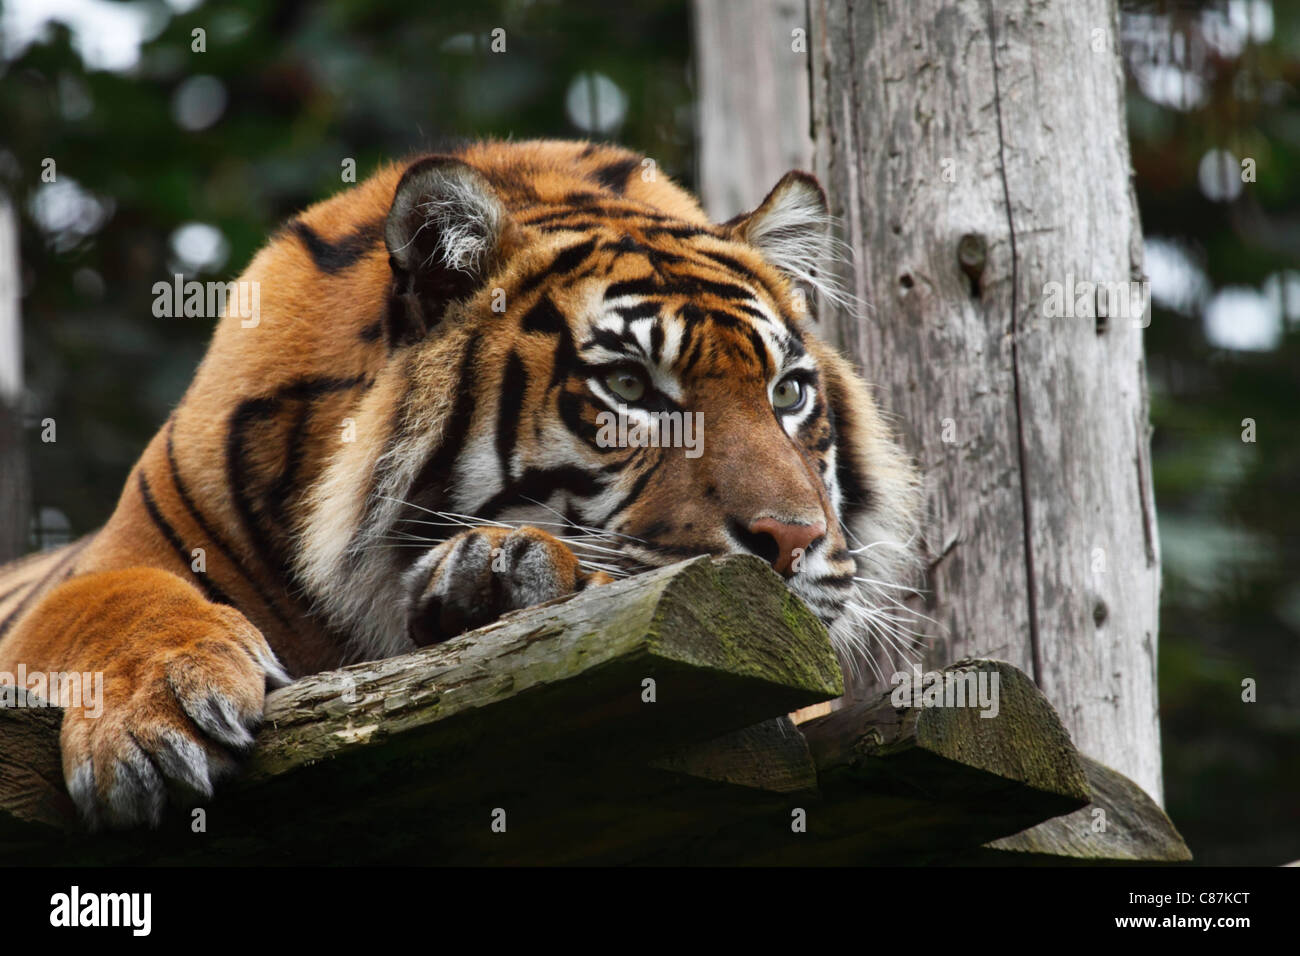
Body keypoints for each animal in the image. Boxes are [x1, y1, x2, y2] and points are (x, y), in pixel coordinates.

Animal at [0, 139, 920, 830]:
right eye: (628, 387)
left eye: (788, 394)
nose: (791, 540)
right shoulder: (105, 564)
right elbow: (112, 604)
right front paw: (158, 717)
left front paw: (501, 576)